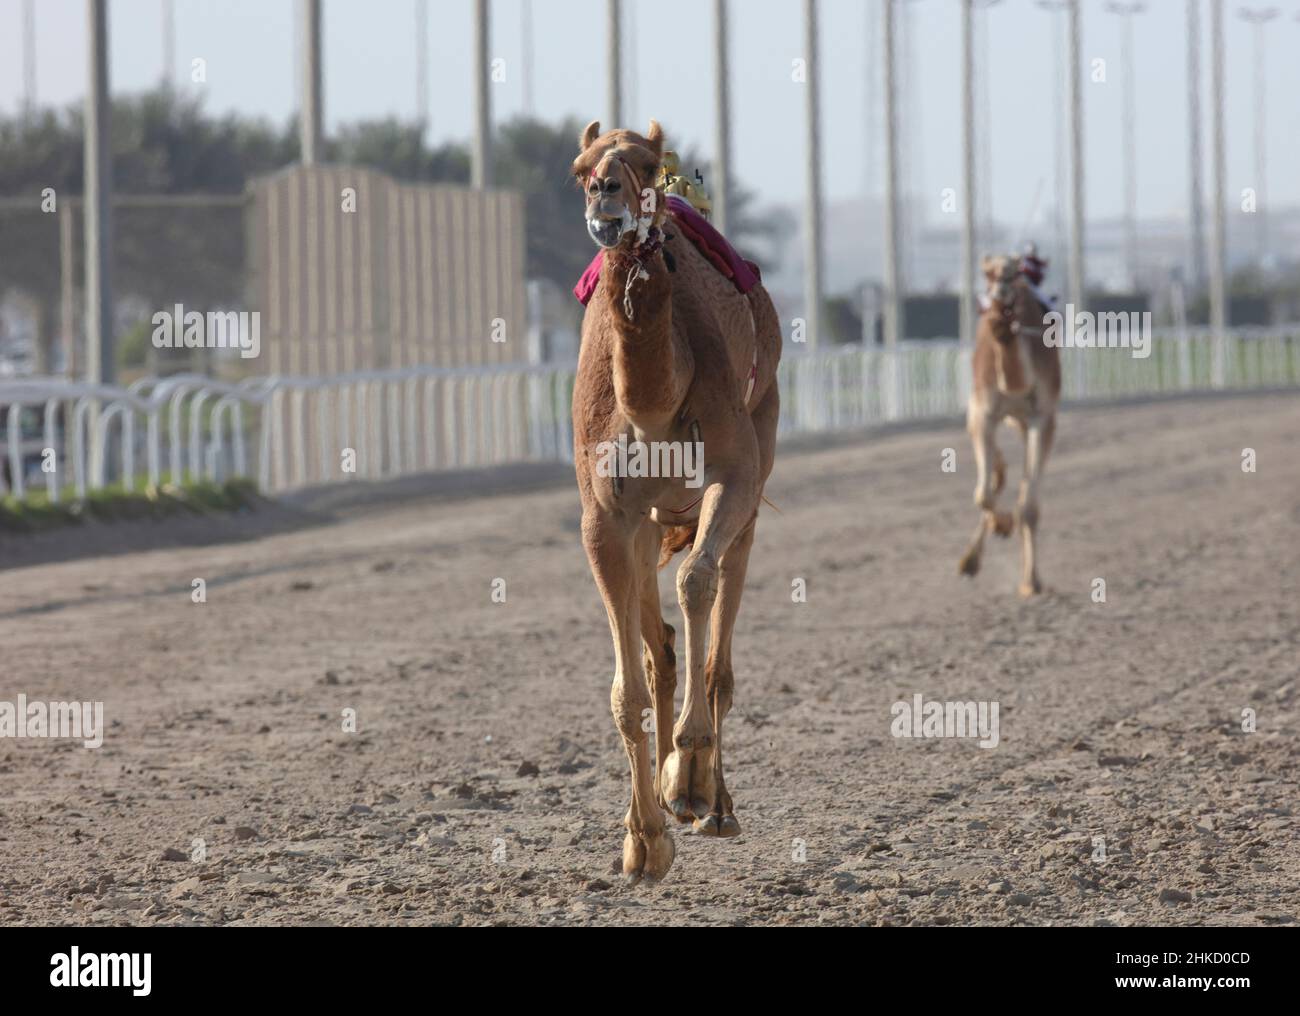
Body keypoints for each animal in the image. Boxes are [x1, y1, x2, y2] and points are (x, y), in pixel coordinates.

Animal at [569, 119, 782, 883]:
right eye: (580, 169)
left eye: (643, 161)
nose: (606, 194)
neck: (654, 404)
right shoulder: (604, 517)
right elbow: (625, 689)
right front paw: (643, 841)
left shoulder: (733, 475)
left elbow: (696, 584)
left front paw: (689, 783)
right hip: (647, 519)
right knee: (658, 644)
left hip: (760, 452)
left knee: (717, 641)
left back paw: (713, 801)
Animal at [958, 254, 1061, 597]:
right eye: (987, 272)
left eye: (1014, 269)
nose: (1001, 288)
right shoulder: (982, 413)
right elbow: (983, 494)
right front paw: (1000, 525)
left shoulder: (1042, 417)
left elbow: (1028, 507)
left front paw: (1031, 582)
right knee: (994, 476)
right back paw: (970, 560)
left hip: (1022, 420)